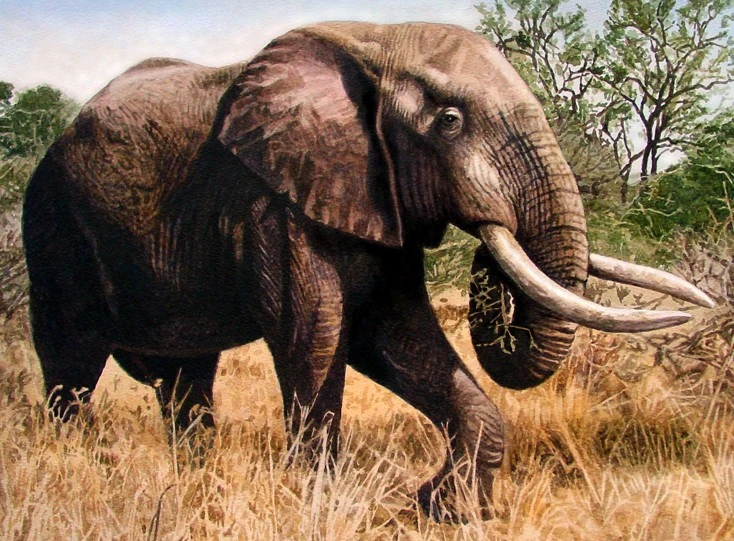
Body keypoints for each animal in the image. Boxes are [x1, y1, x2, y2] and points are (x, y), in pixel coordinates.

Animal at [22, 22, 713, 518]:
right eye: (450, 122)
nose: (490, 235)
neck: (377, 41)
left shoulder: (376, 200)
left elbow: (396, 336)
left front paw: (449, 511)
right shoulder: (272, 206)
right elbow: (316, 336)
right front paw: (318, 504)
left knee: (185, 380)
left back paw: (193, 479)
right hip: (53, 226)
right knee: (71, 365)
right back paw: (76, 465)